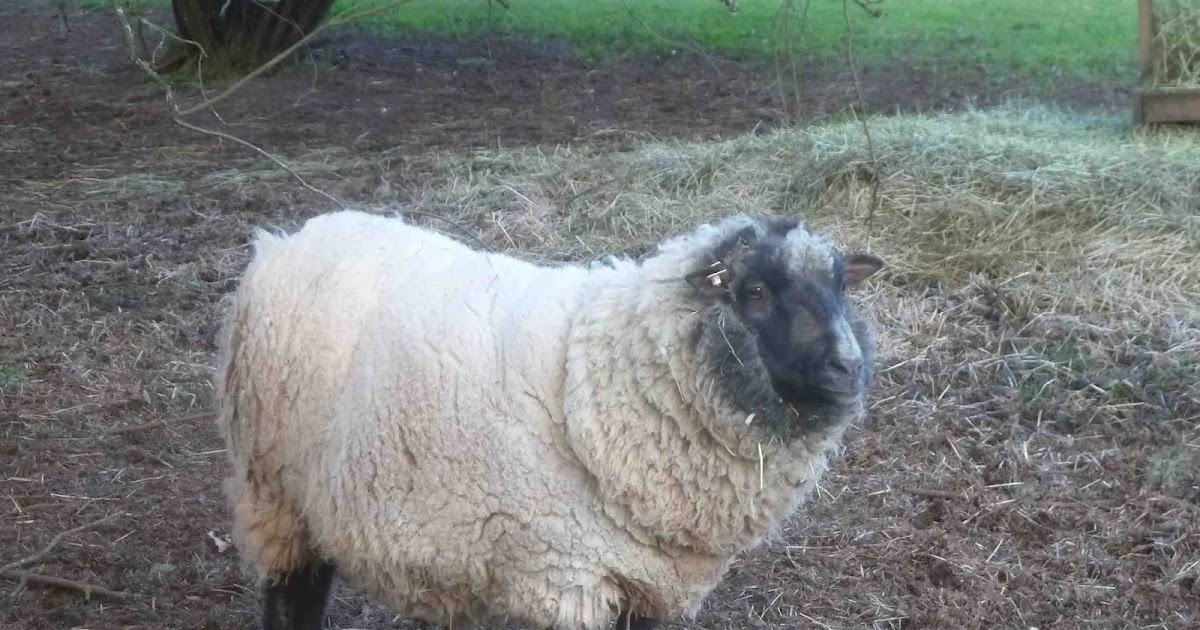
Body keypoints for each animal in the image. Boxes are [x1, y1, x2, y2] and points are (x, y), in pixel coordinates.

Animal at [215, 209, 884, 630]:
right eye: (755, 292)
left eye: (841, 287)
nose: (848, 367)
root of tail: (284, 239)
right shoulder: (564, 578)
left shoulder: (647, 583)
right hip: (273, 488)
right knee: (292, 595)